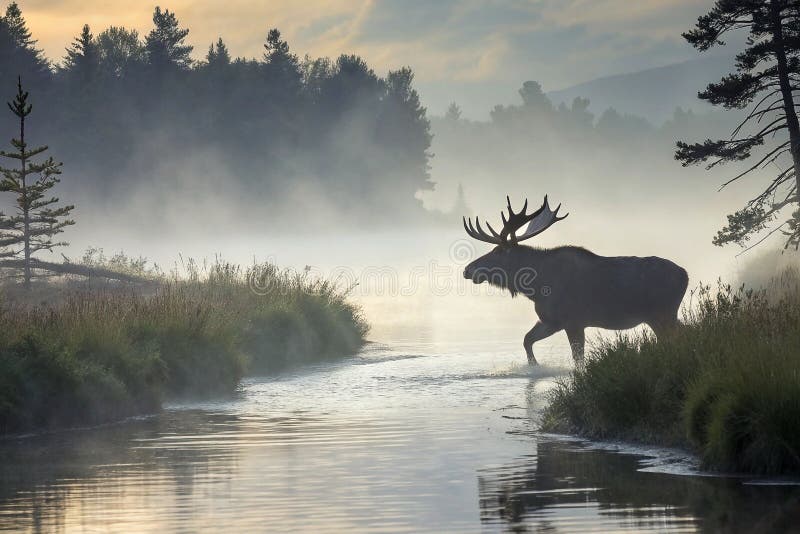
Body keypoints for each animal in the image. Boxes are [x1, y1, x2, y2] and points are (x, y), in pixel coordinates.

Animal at [462, 196, 688, 365]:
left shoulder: (574, 321)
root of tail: (685, 275)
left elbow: (578, 359)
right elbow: (527, 340)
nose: (467, 269)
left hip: (662, 313)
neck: (536, 287)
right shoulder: (551, 320)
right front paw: (534, 366)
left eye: (497, 252)